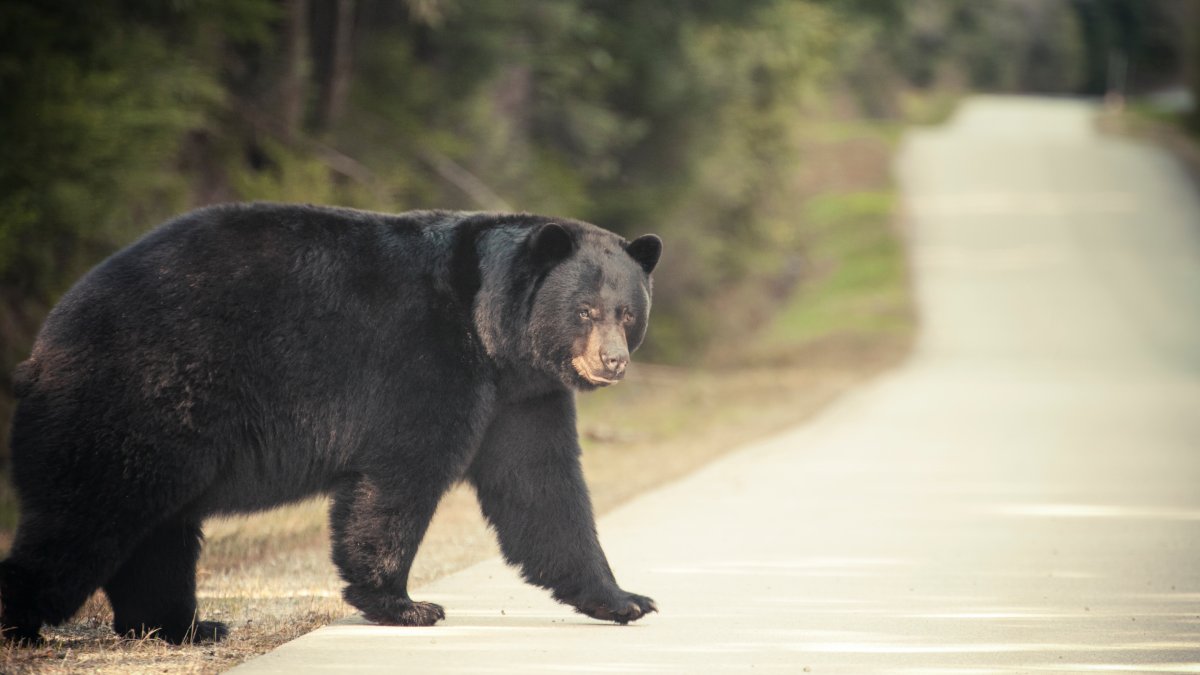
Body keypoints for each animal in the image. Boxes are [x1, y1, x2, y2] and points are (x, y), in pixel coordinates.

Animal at [0, 202, 662, 644]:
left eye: (628, 313)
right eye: (585, 310)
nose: (612, 361)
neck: (492, 333)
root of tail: (41, 349)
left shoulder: (521, 396)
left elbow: (542, 490)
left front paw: (626, 599)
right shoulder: (427, 358)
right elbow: (402, 474)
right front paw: (403, 603)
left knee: (156, 532)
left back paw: (182, 625)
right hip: (139, 399)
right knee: (87, 518)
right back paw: (23, 622)